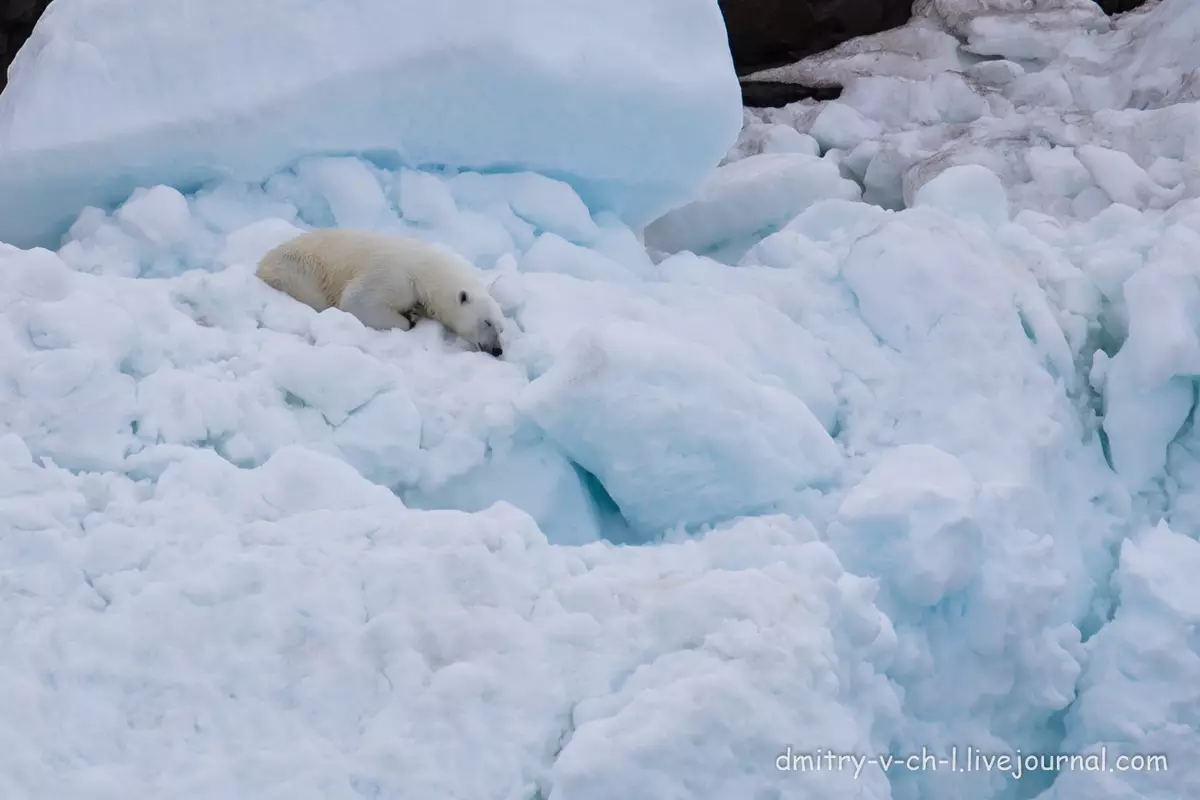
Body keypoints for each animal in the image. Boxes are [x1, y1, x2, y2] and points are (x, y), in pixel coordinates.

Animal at [258, 230, 506, 357]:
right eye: (487, 322)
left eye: (500, 327)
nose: (497, 350)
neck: (425, 271)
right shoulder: (394, 275)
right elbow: (357, 301)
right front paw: (410, 317)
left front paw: (415, 311)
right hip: (299, 270)